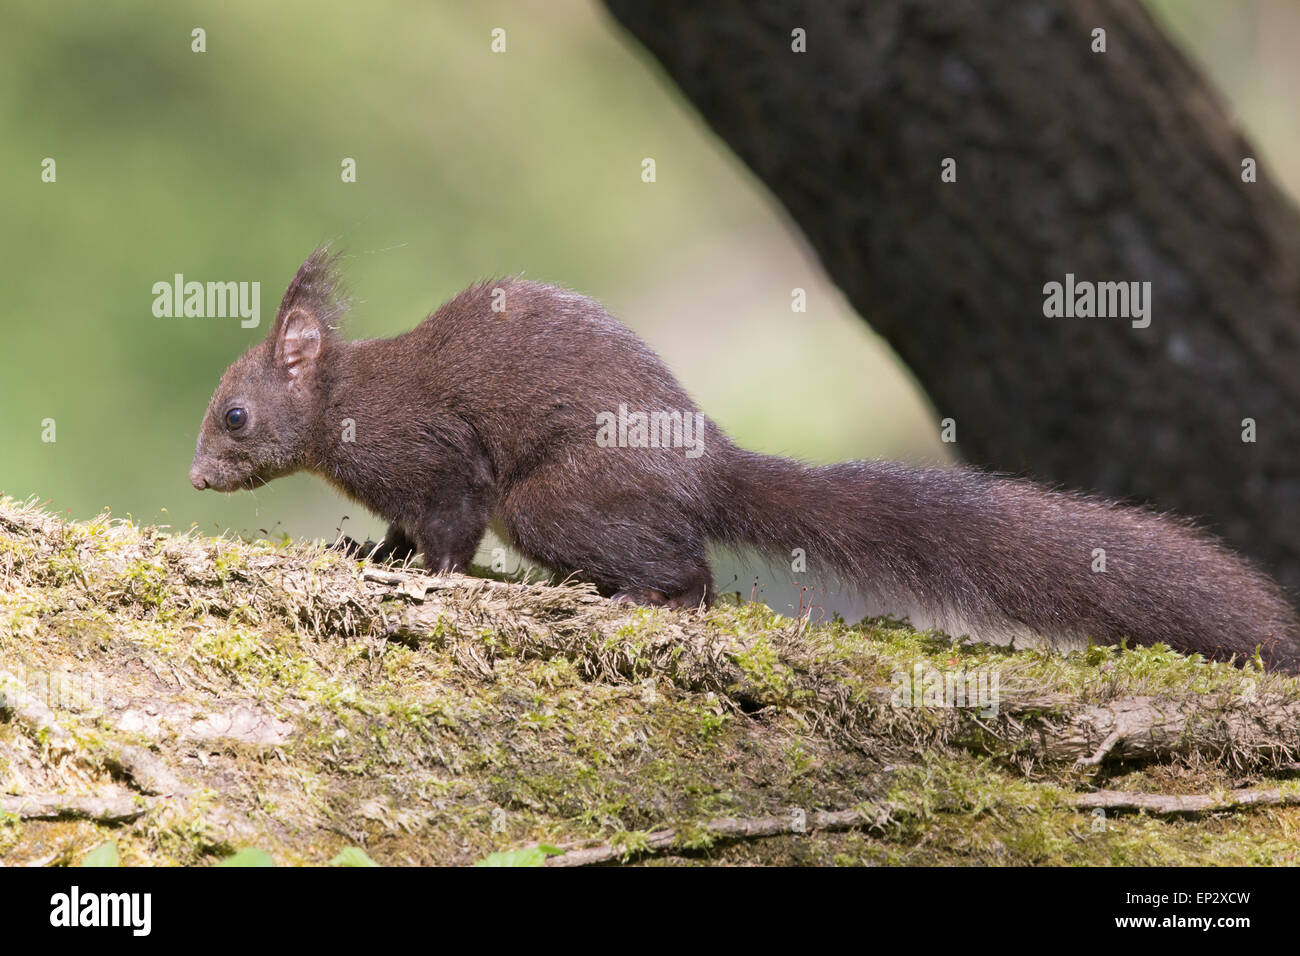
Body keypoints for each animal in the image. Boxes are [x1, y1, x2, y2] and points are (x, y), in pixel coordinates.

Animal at [190, 248, 1300, 672]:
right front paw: (369, 554)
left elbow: (451, 529)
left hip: (561, 501)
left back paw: (641, 597)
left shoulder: (438, 454)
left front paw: (427, 577)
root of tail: (708, 464)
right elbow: (393, 526)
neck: (344, 403)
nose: (195, 478)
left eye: (234, 414)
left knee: (692, 571)